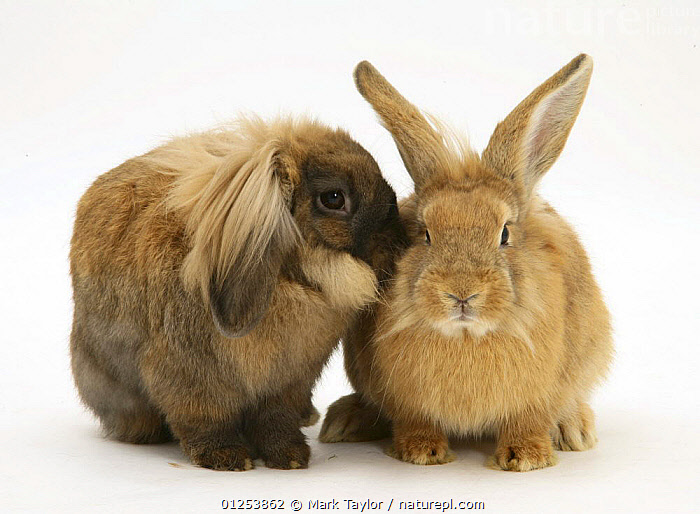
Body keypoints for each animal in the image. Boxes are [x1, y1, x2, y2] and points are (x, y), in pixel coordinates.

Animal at [69, 115, 406, 471]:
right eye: (333, 198)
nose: (396, 233)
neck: (288, 279)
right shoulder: (190, 379)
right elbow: (205, 420)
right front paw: (227, 457)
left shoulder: (289, 382)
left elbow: (275, 419)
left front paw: (290, 457)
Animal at [320, 55, 613, 472]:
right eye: (424, 234)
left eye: (504, 233)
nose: (461, 293)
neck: (466, 336)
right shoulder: (405, 398)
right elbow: (414, 420)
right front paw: (421, 452)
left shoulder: (540, 392)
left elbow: (528, 420)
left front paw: (526, 458)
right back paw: (345, 422)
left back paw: (575, 430)